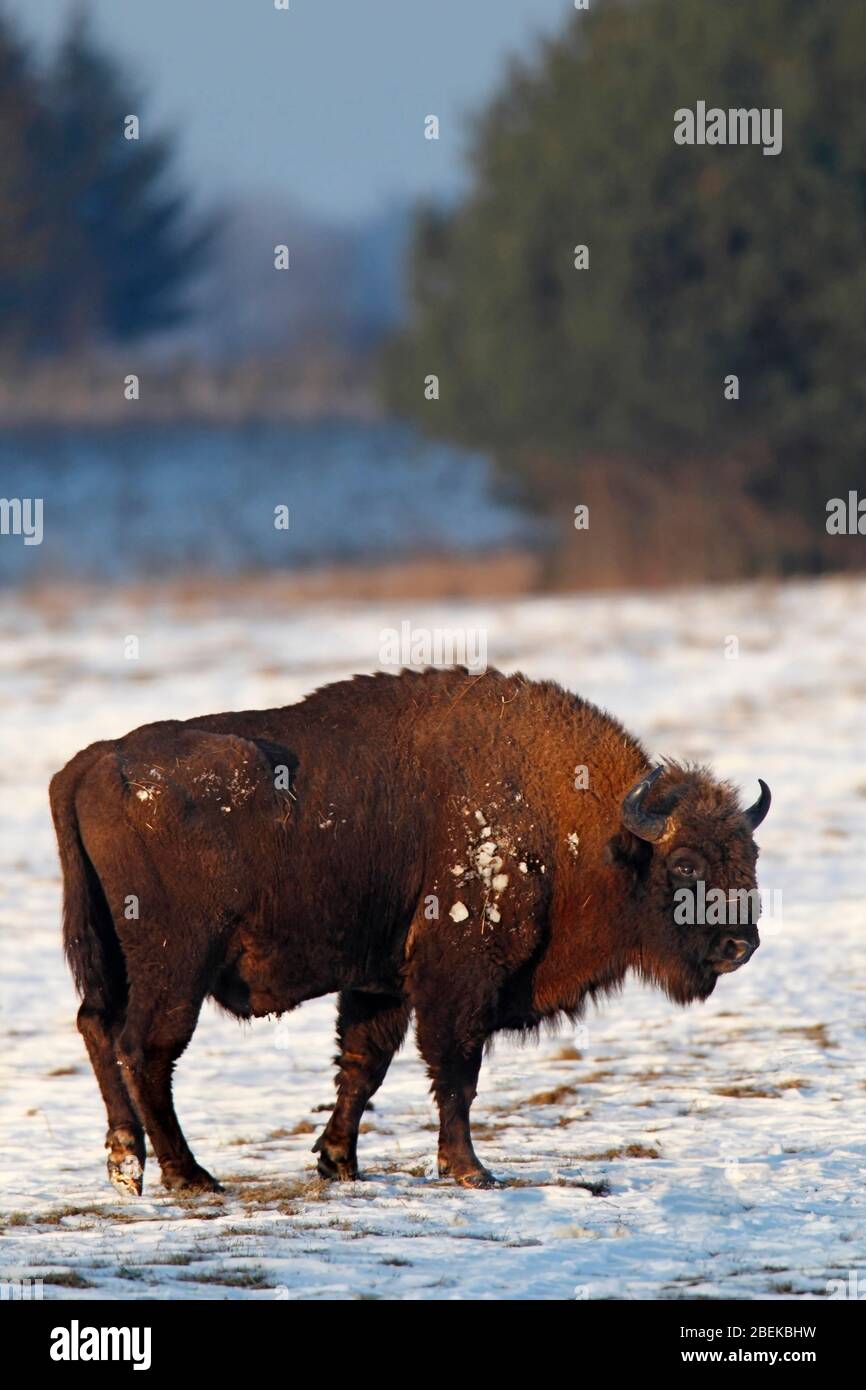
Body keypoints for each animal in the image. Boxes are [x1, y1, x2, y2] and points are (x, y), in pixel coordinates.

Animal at [50, 666, 771, 1194]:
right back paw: (189, 1175)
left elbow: (362, 1066)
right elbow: (455, 1070)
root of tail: (93, 762)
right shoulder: (457, 980)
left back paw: (128, 1164)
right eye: (685, 863)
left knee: (98, 1027)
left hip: (116, 955)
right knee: (145, 1048)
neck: (590, 834)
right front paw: (471, 1170)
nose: (739, 945)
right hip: (177, 963)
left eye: (751, 856)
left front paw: (338, 1162)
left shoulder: (384, 984)